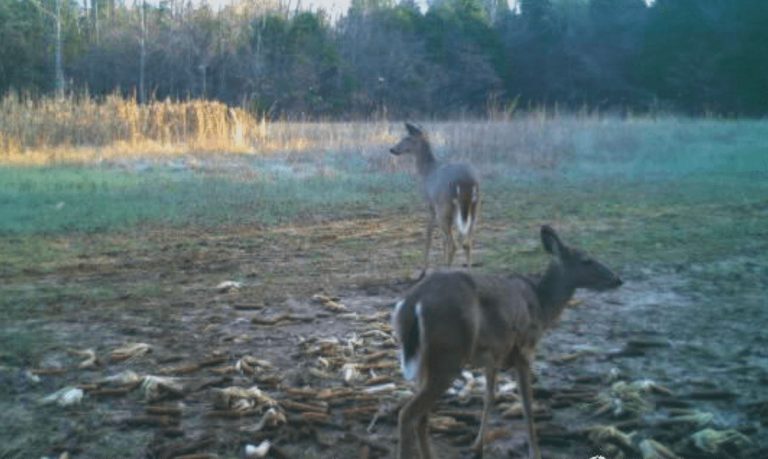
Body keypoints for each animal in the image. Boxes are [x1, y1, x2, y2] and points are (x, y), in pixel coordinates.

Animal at [390, 123, 480, 279]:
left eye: (407, 138)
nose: (392, 149)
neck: (426, 172)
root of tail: (466, 181)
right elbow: (443, 240)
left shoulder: (430, 204)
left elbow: (429, 236)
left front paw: (423, 271)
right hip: (473, 207)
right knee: (466, 243)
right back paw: (469, 274)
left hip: (444, 207)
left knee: (454, 244)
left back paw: (447, 273)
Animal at [391, 225, 623, 459]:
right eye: (586, 260)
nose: (617, 279)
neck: (542, 307)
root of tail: (412, 303)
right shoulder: (524, 349)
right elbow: (527, 403)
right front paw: (535, 452)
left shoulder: (494, 355)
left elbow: (489, 397)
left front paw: (478, 446)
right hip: (449, 355)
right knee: (407, 414)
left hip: (425, 361)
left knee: (421, 415)